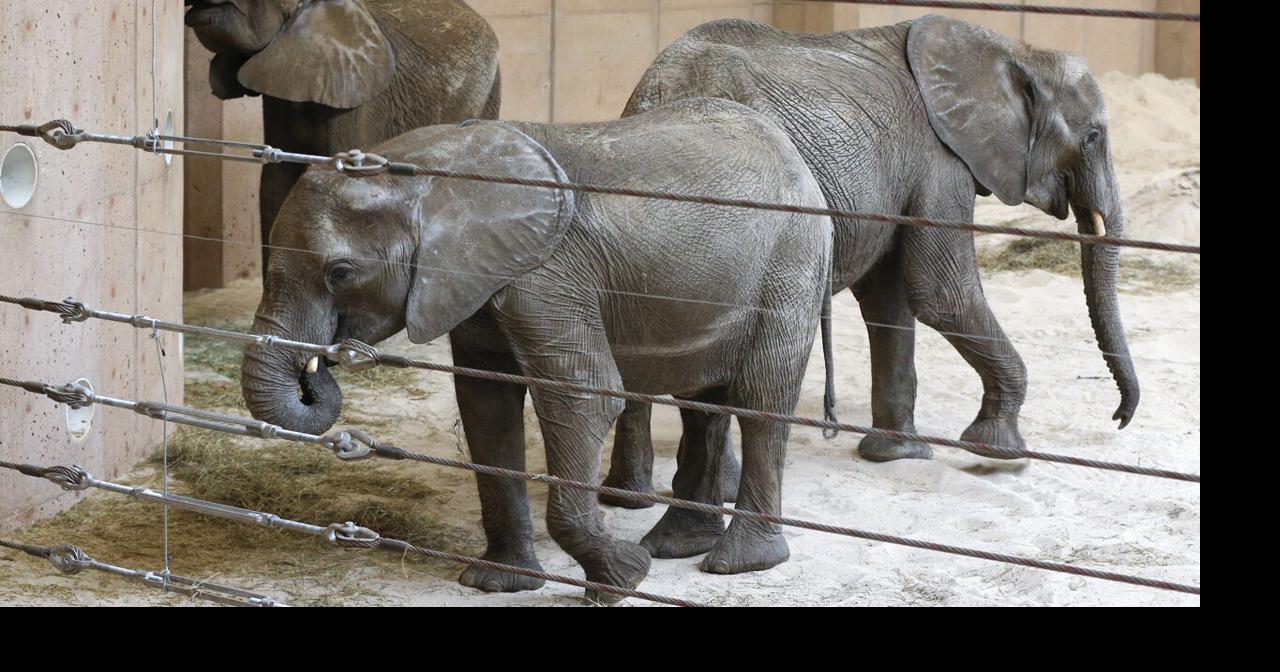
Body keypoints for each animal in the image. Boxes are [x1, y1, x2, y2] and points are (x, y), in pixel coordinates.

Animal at [238, 97, 834, 600]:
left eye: (340, 273)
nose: (317, 370)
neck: (431, 166)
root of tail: (789, 150)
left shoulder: (546, 277)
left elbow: (585, 397)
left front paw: (620, 580)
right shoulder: (476, 281)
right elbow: (486, 409)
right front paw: (497, 583)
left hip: (792, 262)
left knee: (760, 400)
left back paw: (737, 562)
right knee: (705, 403)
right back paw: (678, 545)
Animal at [601, 15, 1140, 522]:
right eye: (1092, 136)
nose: (1118, 418)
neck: (1016, 50)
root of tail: (653, 96)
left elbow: (891, 298)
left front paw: (897, 455)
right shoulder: (938, 159)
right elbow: (940, 293)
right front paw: (1000, 452)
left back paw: (628, 498)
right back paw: (711, 493)